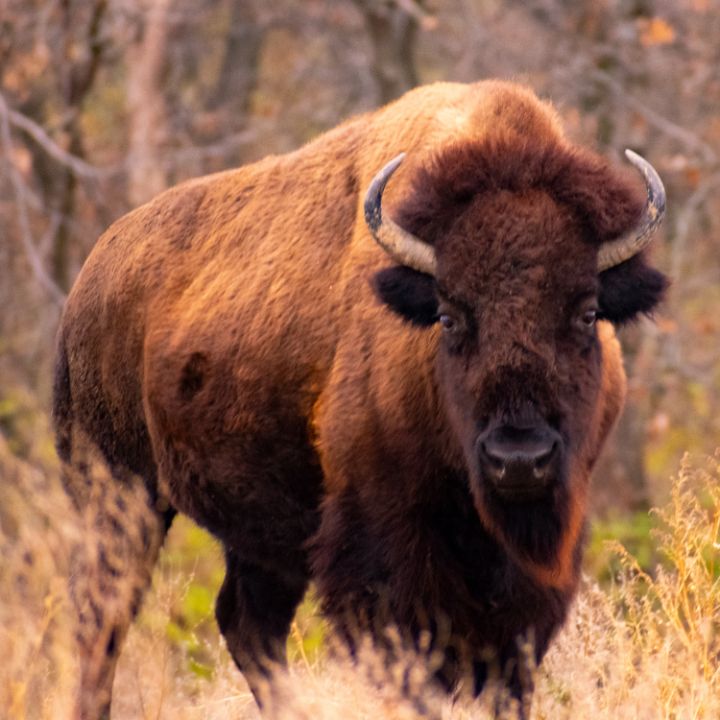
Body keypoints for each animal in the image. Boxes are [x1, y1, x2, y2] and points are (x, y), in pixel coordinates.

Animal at [53, 80, 666, 718]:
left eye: (587, 312)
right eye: (449, 315)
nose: (518, 458)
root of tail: (90, 278)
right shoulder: (382, 546)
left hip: (259, 529)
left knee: (246, 624)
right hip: (116, 494)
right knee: (102, 619)